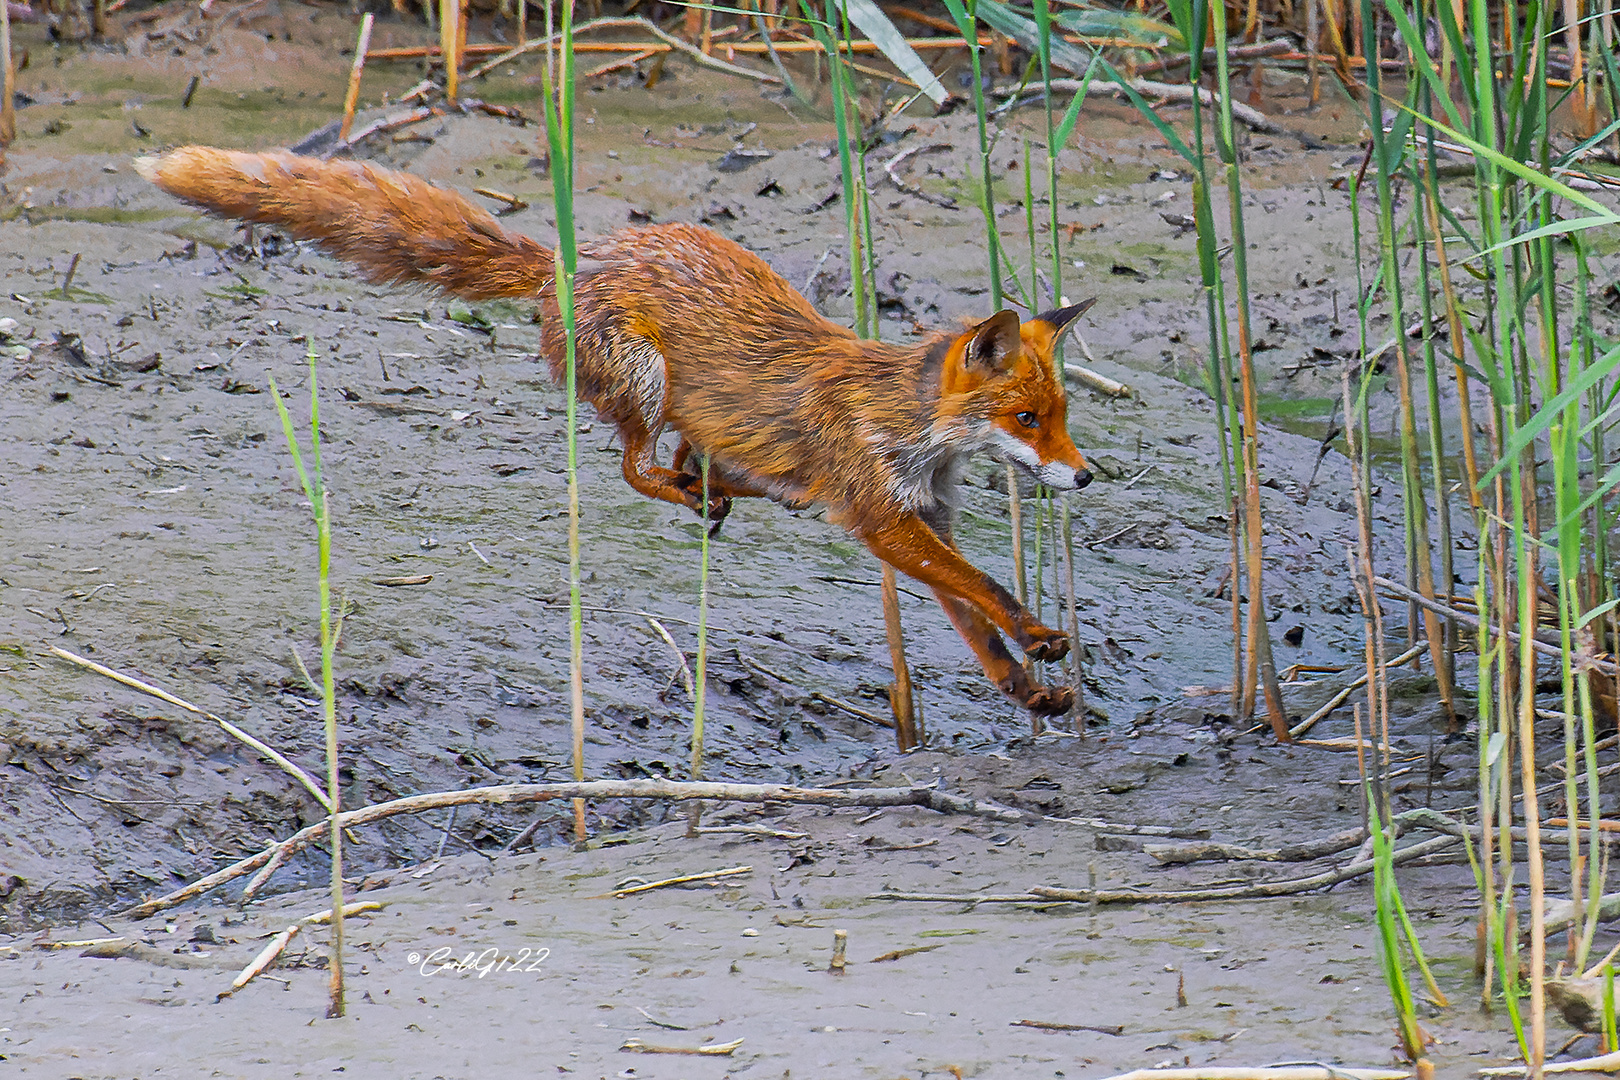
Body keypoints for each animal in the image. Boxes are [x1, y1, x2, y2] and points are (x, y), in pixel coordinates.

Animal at [136, 143, 1101, 718]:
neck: (904, 425)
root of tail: (572, 259)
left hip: (683, 409)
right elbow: (984, 585)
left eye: (1060, 417)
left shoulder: (922, 516)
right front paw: (1039, 641)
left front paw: (1023, 679)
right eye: (1025, 419)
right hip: (644, 378)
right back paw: (685, 489)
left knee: (682, 459)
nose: (1088, 477)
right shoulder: (881, 515)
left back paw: (709, 489)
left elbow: (971, 612)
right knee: (635, 466)